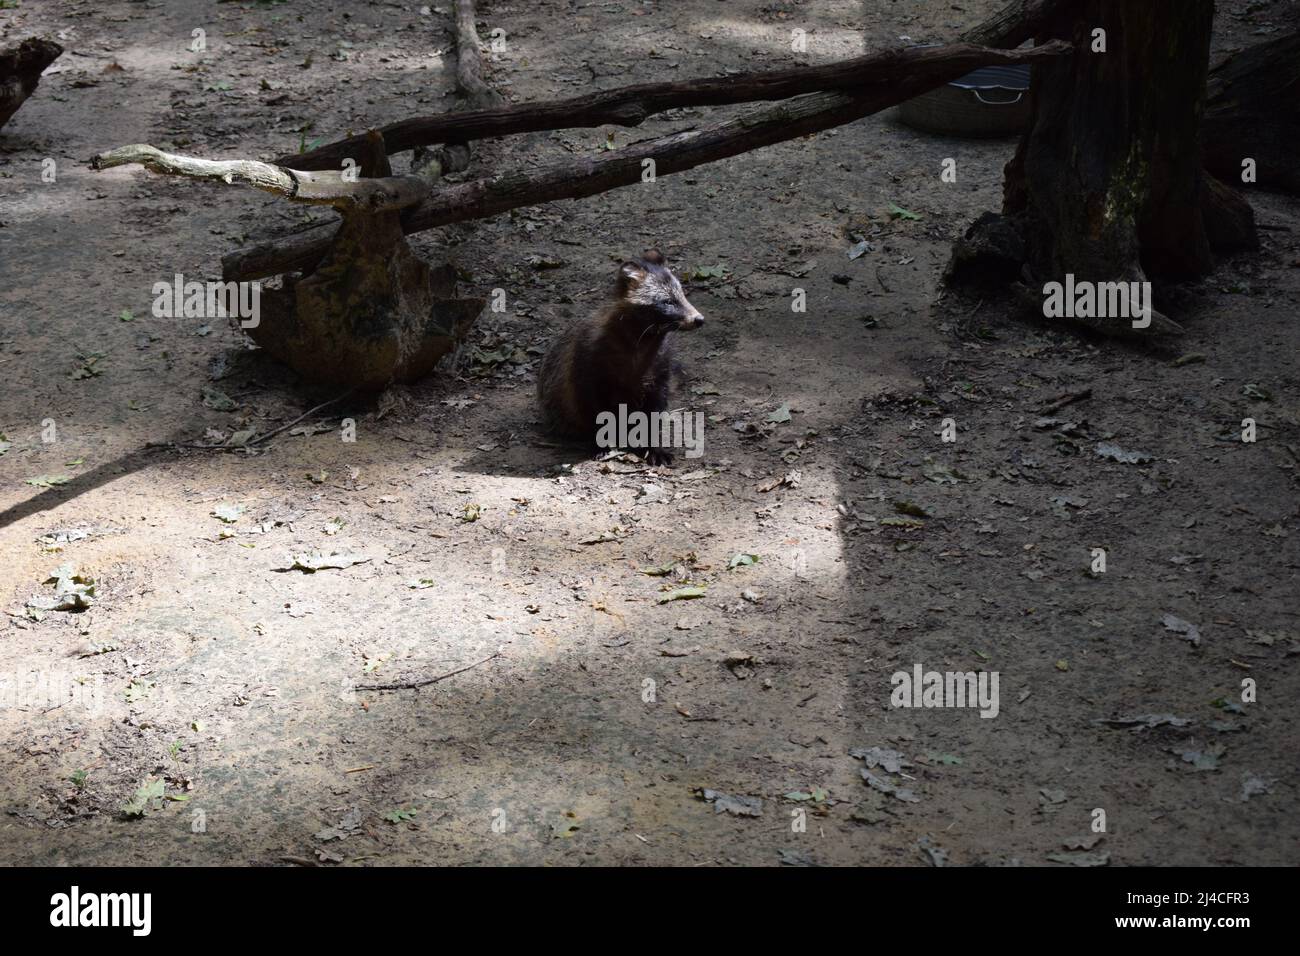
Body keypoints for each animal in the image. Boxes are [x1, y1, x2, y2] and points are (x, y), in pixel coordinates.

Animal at [537, 249, 704, 466]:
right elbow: (592, 406)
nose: (699, 319)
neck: (642, 343)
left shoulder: (659, 366)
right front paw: (601, 442)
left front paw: (653, 446)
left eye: (682, 295)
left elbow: (654, 409)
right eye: (667, 301)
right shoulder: (587, 362)